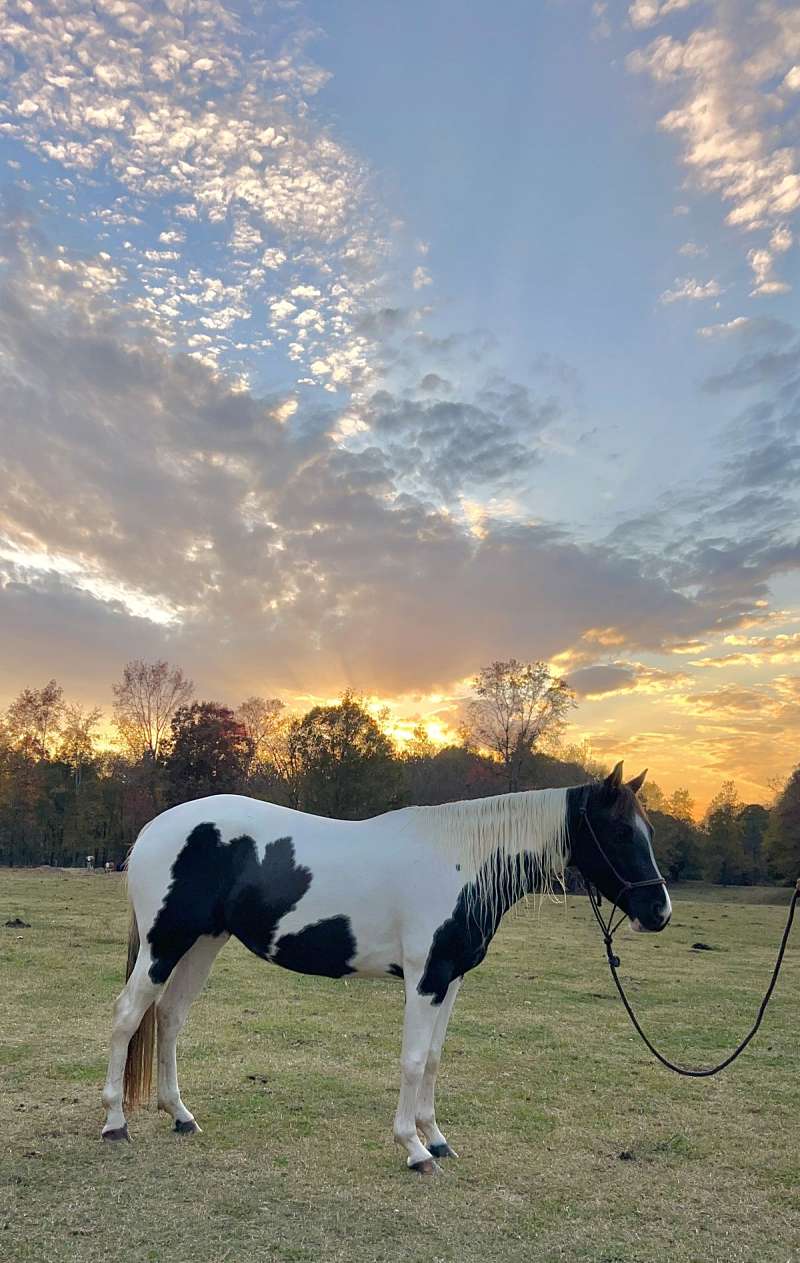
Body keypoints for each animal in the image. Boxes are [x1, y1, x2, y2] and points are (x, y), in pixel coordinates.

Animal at [101, 760, 670, 1173]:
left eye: (646, 830)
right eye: (619, 832)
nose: (659, 912)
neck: (462, 862)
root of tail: (154, 828)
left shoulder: (451, 980)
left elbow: (435, 1059)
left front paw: (436, 1139)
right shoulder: (425, 979)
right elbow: (413, 1060)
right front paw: (413, 1149)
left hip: (202, 943)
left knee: (170, 1016)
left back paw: (180, 1115)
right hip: (164, 943)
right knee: (128, 1015)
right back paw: (114, 1123)